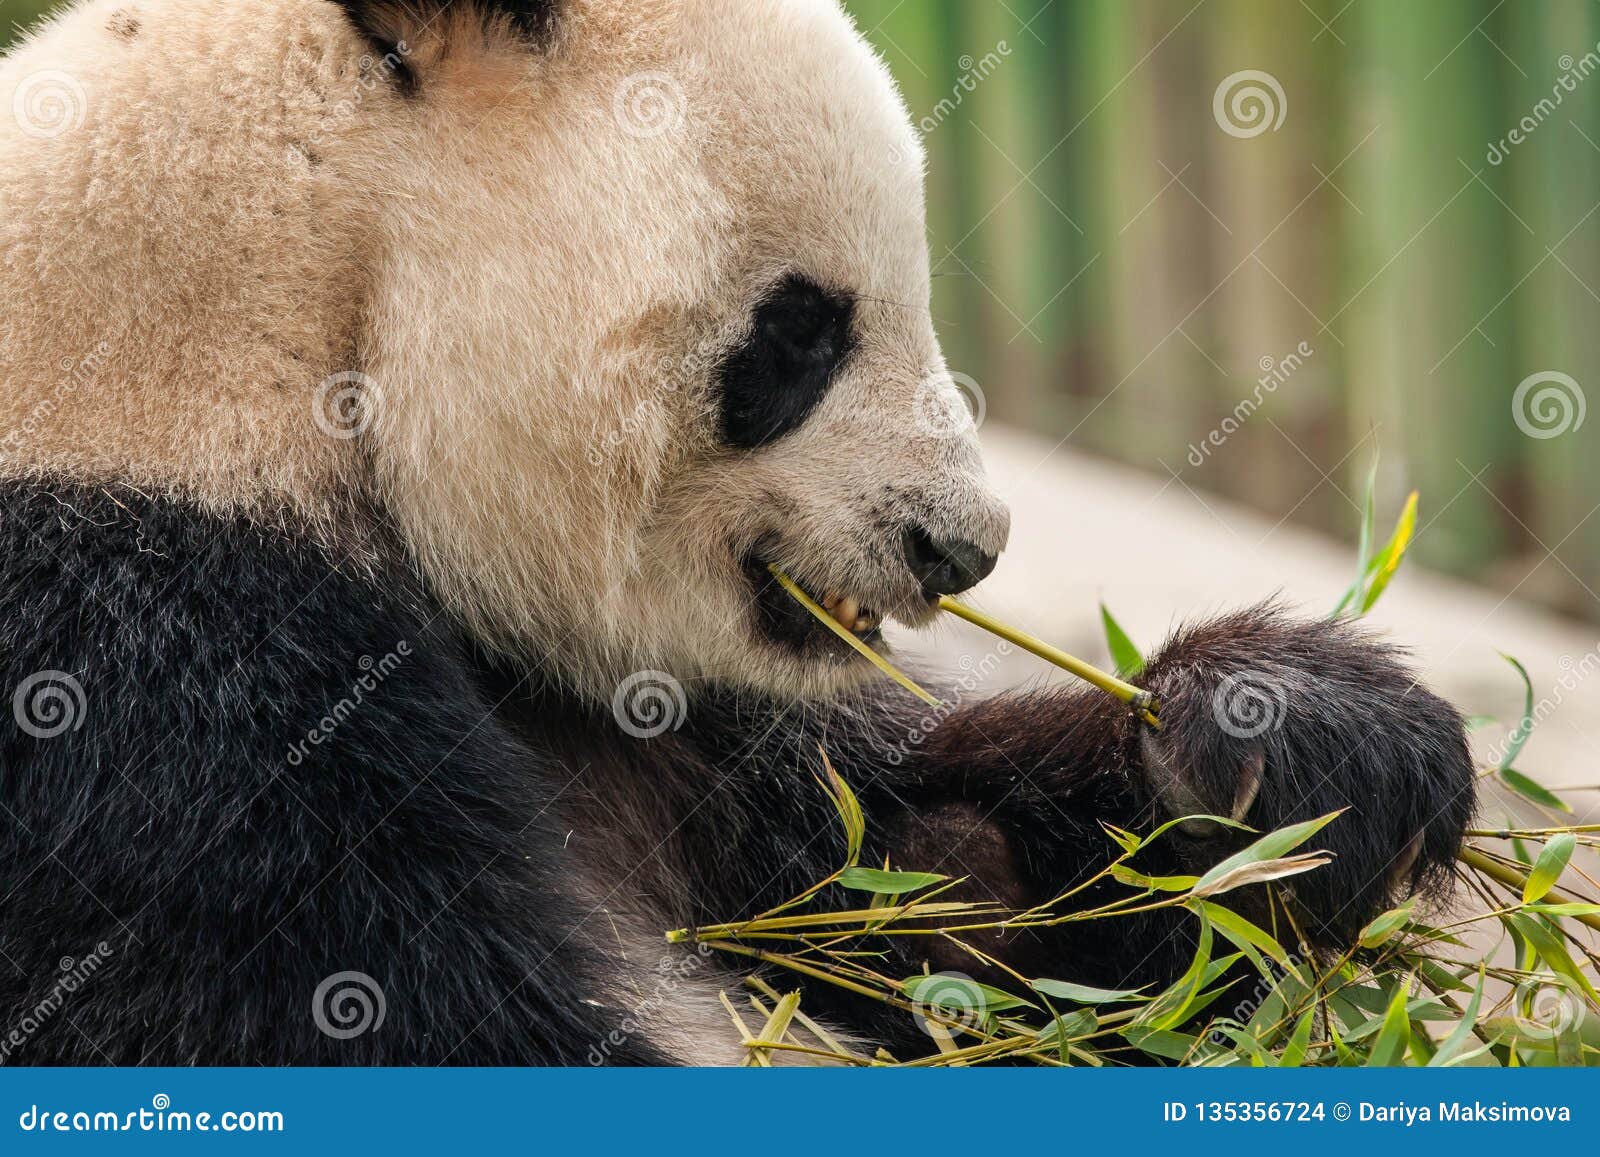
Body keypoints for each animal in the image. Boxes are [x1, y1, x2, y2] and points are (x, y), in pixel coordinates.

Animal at [0, 0, 1474, 1065]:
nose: (963, 547)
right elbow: (374, 1010)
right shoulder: (140, 692)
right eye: (803, 329)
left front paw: (1279, 742)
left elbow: (933, 895)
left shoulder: (666, 708)